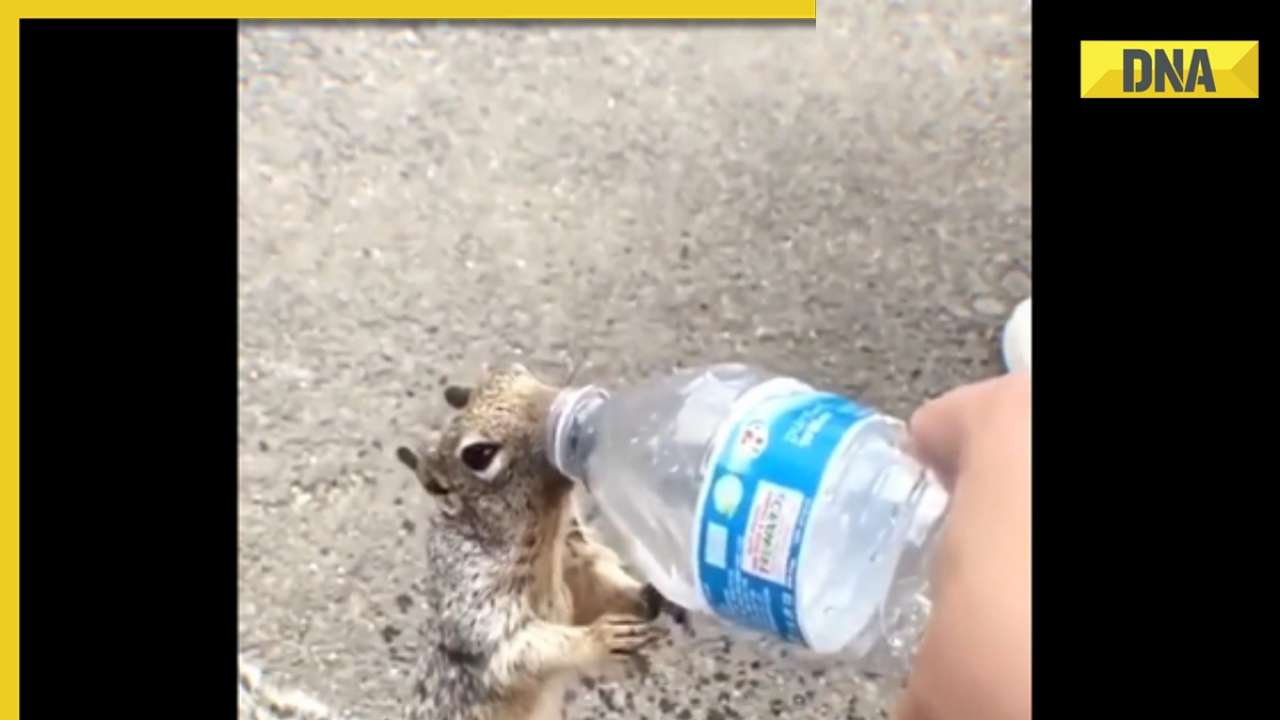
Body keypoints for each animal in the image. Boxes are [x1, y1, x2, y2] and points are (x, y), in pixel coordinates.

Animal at [395, 364, 679, 720]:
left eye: (515, 370)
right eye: (478, 454)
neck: (547, 536)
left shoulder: (575, 557)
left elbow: (599, 587)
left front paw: (651, 594)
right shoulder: (477, 602)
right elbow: (520, 650)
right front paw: (601, 638)